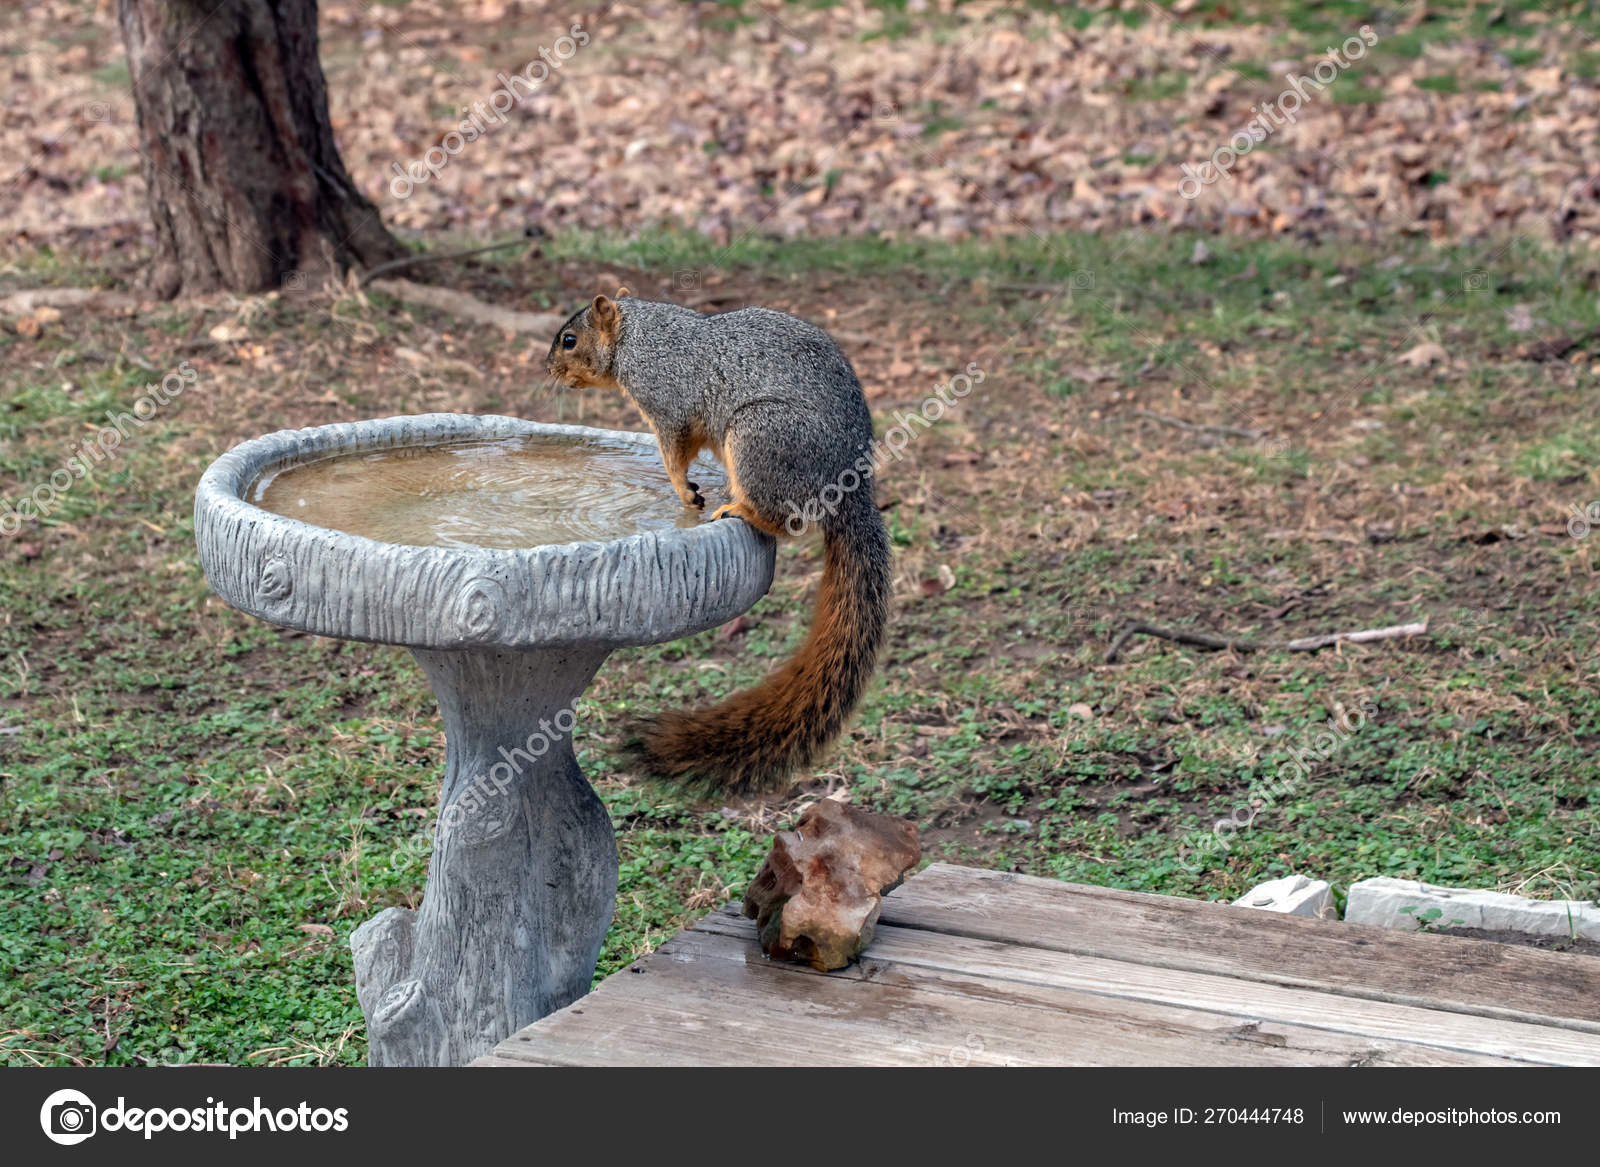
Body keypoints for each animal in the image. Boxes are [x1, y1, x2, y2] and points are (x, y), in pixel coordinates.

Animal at [546, 290, 891, 793]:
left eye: (569, 340)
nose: (548, 368)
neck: (636, 337)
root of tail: (855, 491)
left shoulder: (669, 401)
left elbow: (674, 453)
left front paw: (683, 490)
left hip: (760, 435)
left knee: (782, 519)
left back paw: (740, 509)